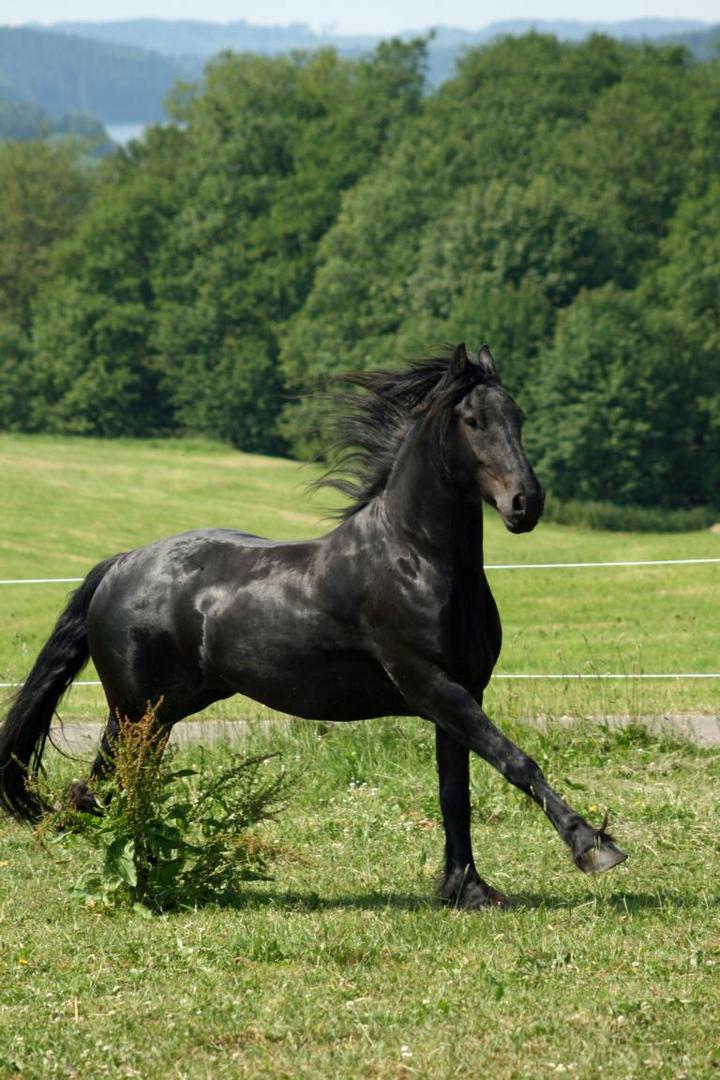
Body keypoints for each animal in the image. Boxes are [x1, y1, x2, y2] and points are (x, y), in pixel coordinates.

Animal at [0, 344, 626, 907]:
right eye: (473, 421)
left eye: (518, 417)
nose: (526, 504)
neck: (416, 559)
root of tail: (121, 564)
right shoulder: (433, 686)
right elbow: (515, 761)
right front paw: (595, 847)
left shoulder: (461, 694)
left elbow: (457, 793)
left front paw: (466, 891)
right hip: (137, 711)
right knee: (109, 788)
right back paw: (143, 880)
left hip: (160, 712)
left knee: (108, 787)